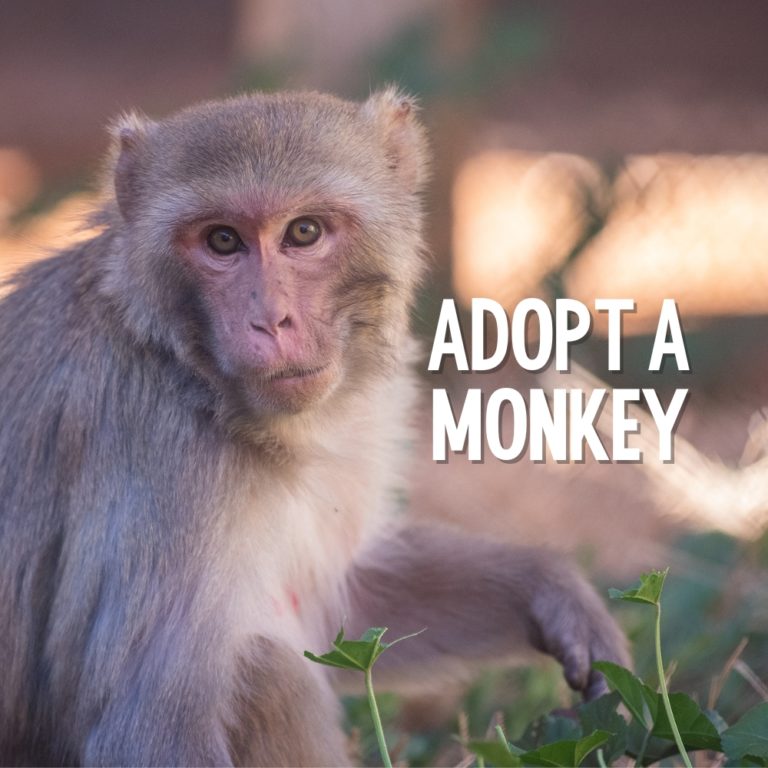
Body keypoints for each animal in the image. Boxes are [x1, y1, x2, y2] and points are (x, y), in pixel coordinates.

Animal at [0, 88, 629, 766]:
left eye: (303, 232)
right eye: (223, 241)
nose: (271, 320)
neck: (190, 373)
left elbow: (346, 606)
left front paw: (552, 591)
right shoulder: (165, 463)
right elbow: (148, 731)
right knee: (266, 672)